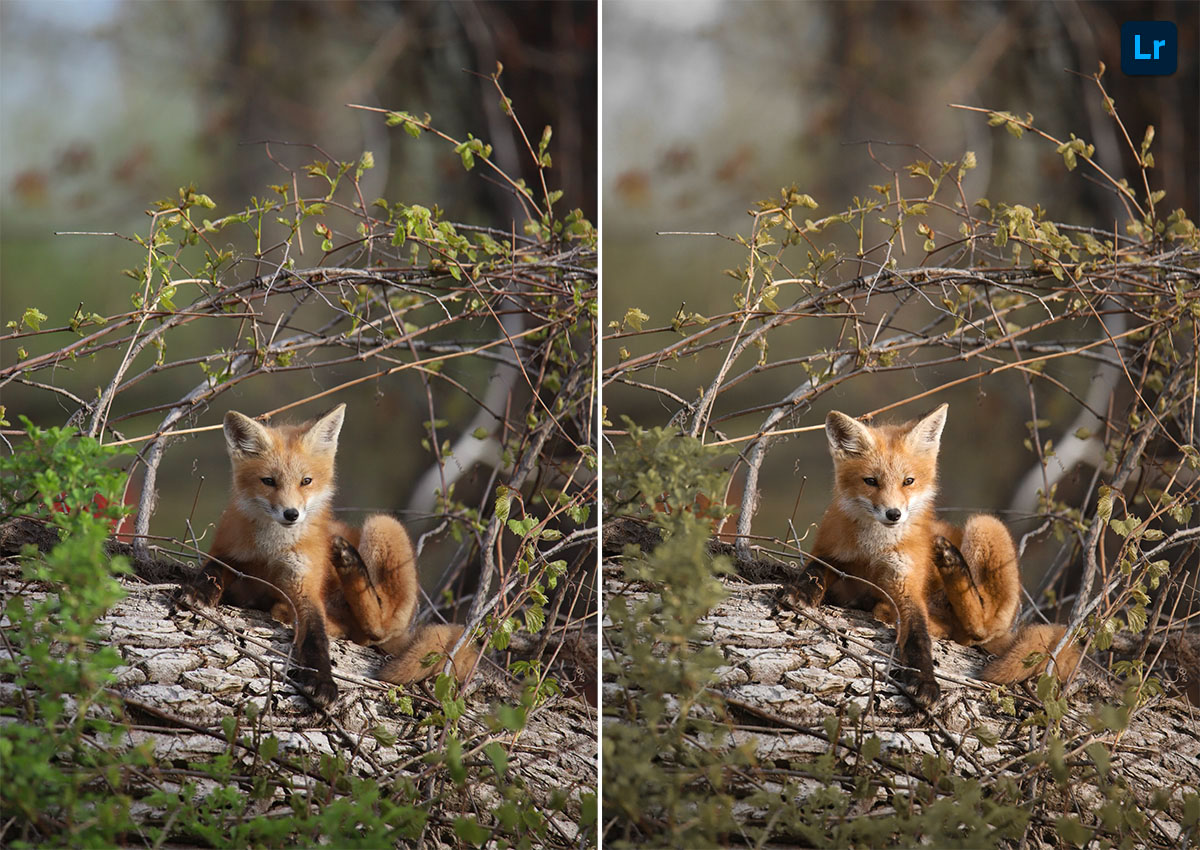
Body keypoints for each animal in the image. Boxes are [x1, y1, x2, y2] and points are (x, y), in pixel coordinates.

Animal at [180, 403, 478, 707]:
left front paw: (322, 680)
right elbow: (213, 570)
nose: (291, 514)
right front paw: (200, 592)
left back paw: (349, 564)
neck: (272, 549)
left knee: (375, 629)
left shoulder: (304, 583)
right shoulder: (229, 553)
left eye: (306, 481)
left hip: (383, 525)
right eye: (269, 482)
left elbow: (315, 635)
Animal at [783, 403, 1080, 709]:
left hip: (985, 525)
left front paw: (924, 681)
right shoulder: (832, 554)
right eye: (871, 482)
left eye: (908, 481)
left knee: (977, 629)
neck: (874, 549)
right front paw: (801, 593)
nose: (893, 514)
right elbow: (814, 570)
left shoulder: (906, 582)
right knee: (954, 629)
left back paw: (951, 564)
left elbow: (918, 635)